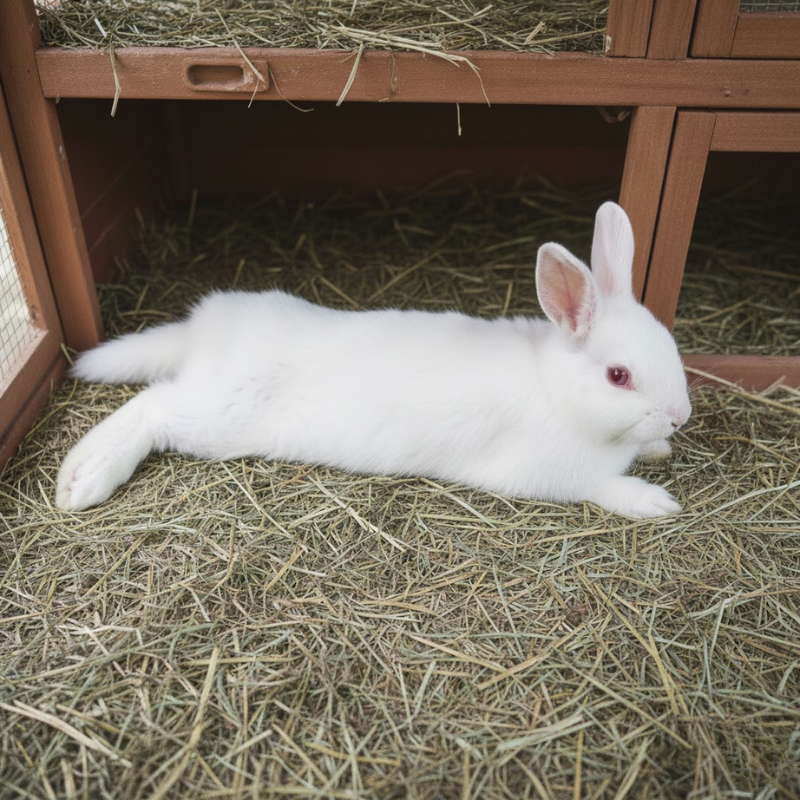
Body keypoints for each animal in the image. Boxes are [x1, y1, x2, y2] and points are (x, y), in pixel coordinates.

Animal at [55, 202, 691, 519]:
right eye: (618, 376)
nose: (681, 417)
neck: (557, 390)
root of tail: (201, 330)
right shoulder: (552, 476)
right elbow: (600, 489)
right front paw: (655, 502)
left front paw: (659, 450)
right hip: (215, 417)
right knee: (152, 408)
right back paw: (81, 480)